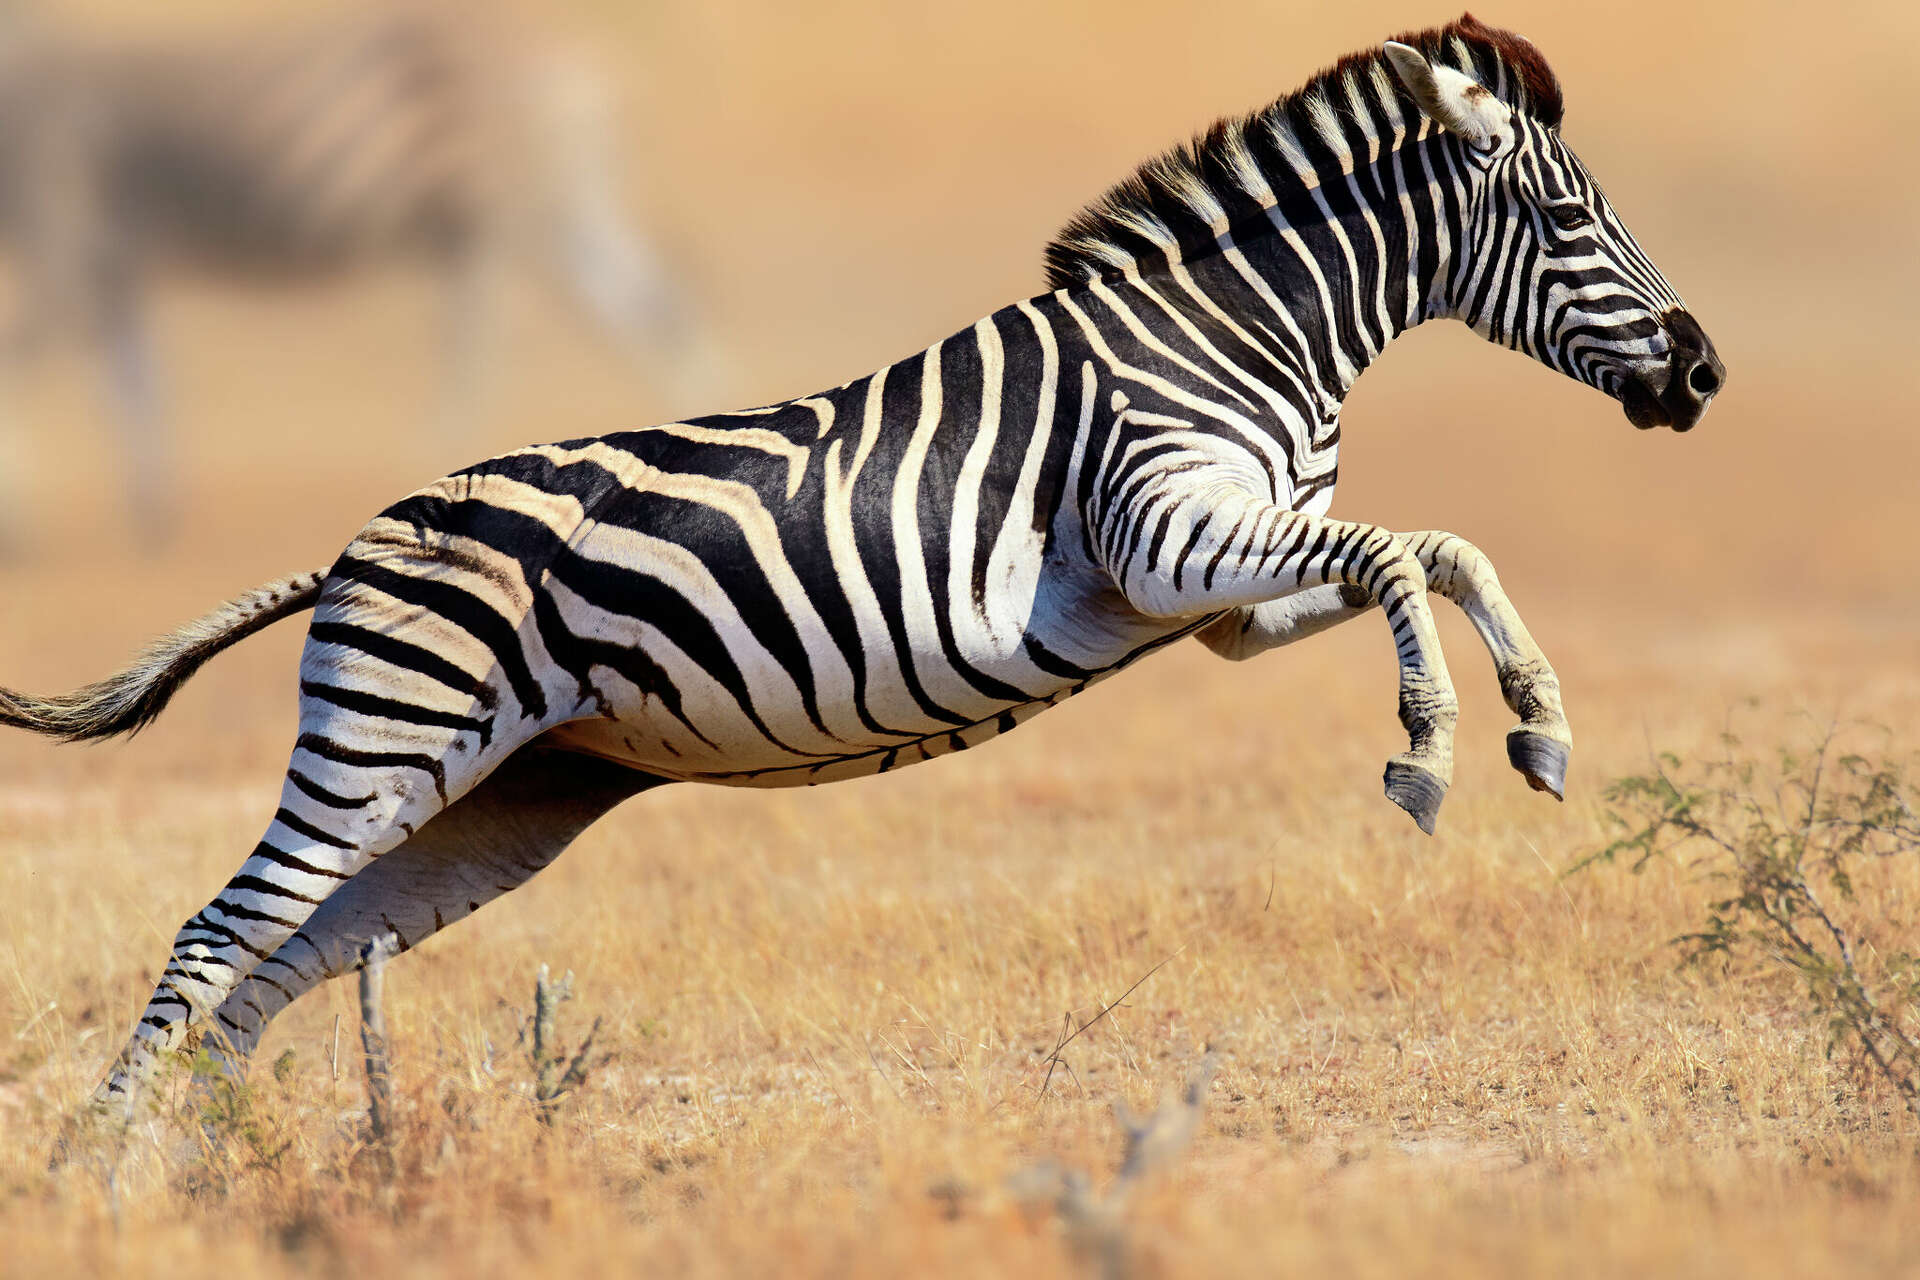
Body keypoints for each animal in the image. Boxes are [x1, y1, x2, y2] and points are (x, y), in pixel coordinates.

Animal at [0, 3, 691, 539]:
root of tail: (574, 67)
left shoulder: (67, 246)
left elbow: (34, 367)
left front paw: (21, 524)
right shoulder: (110, 268)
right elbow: (135, 386)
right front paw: (154, 513)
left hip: (513, 219)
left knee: (483, 350)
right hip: (551, 215)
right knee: (658, 315)